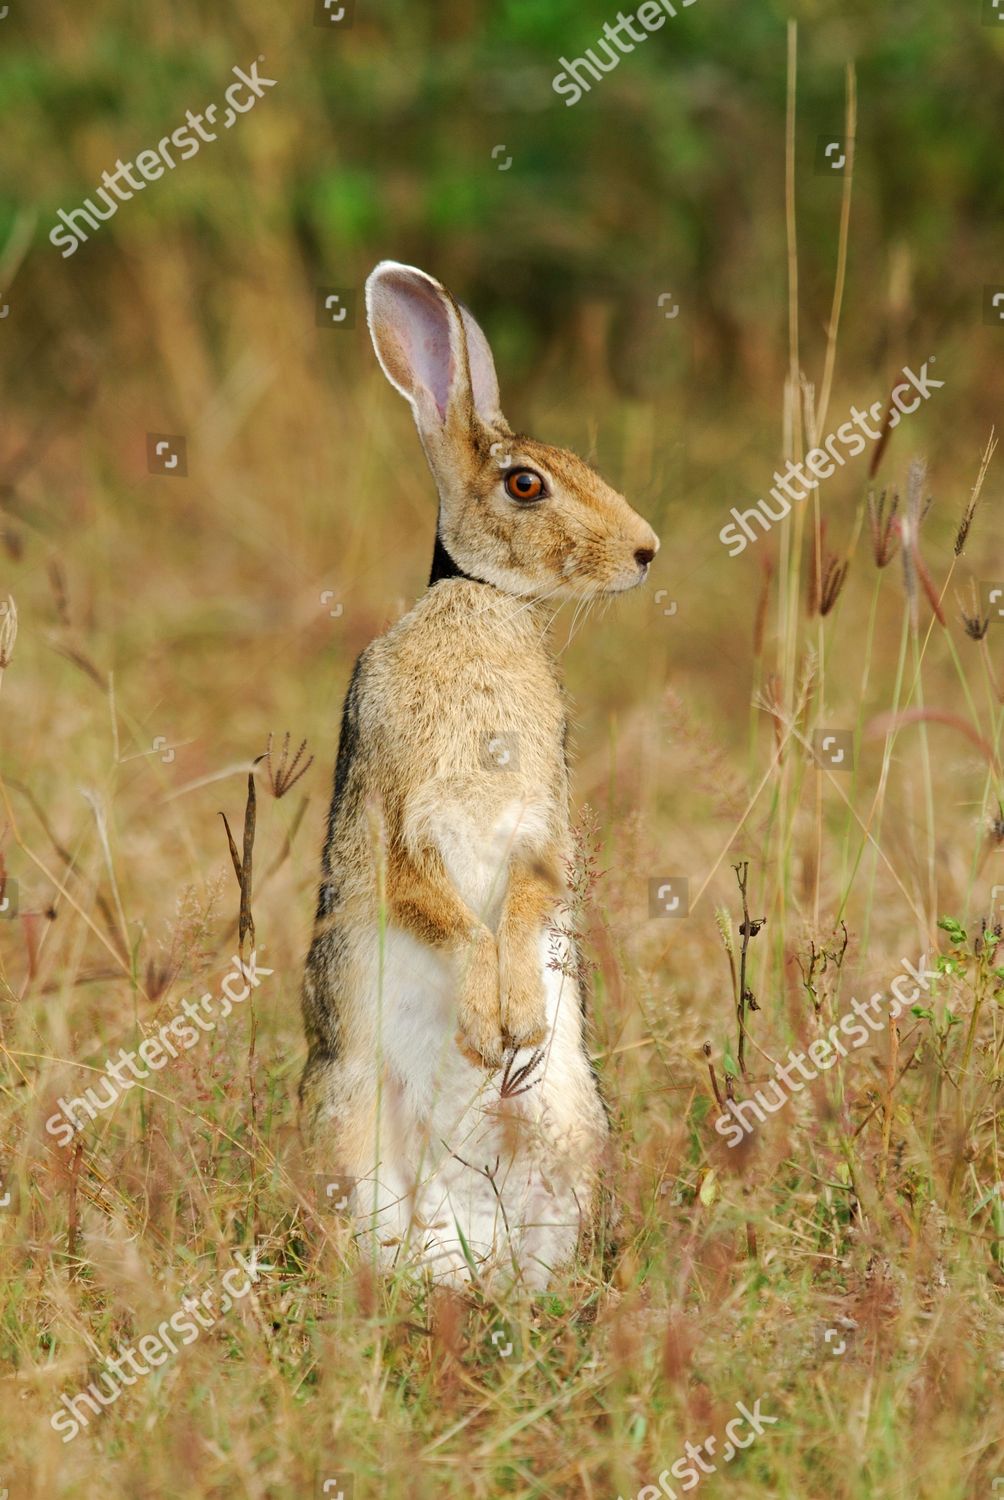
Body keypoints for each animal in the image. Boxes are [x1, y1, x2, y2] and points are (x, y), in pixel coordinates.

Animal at [299, 260, 659, 1288]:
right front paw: (482, 1027)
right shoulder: (398, 811)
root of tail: (458, 1253)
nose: (646, 551)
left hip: (573, 1135)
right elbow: (443, 909)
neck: (484, 601)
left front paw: (518, 1028)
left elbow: (533, 902)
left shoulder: (541, 818)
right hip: (346, 1117)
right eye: (526, 484)